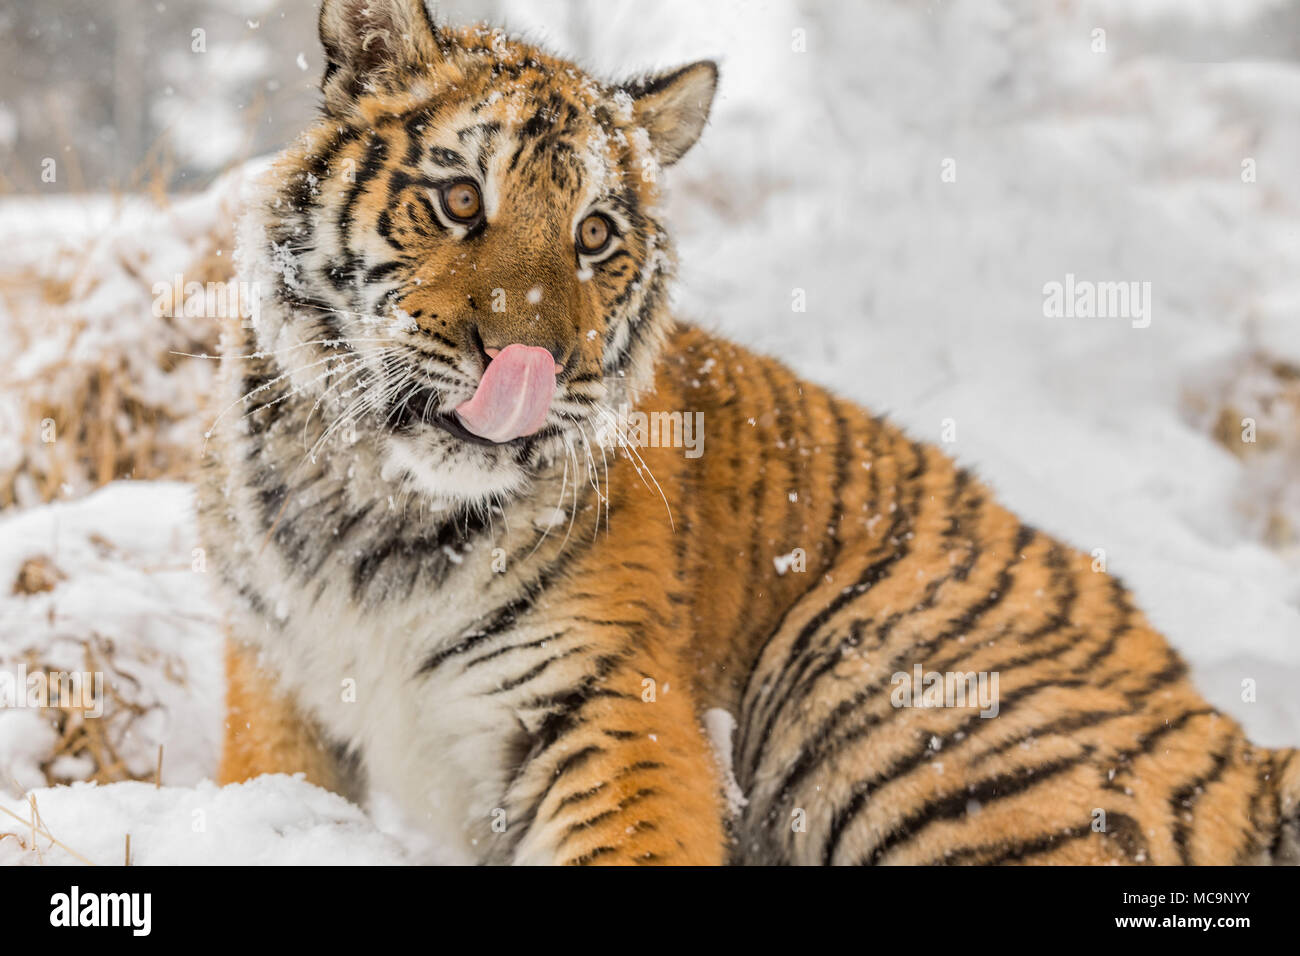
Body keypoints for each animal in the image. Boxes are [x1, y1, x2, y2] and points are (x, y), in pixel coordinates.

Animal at [199, 0, 1300, 865]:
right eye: (460, 198)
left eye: (594, 235)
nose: (528, 363)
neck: (374, 505)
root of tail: (1236, 746)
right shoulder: (274, 684)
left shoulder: (612, 704)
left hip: (879, 701)